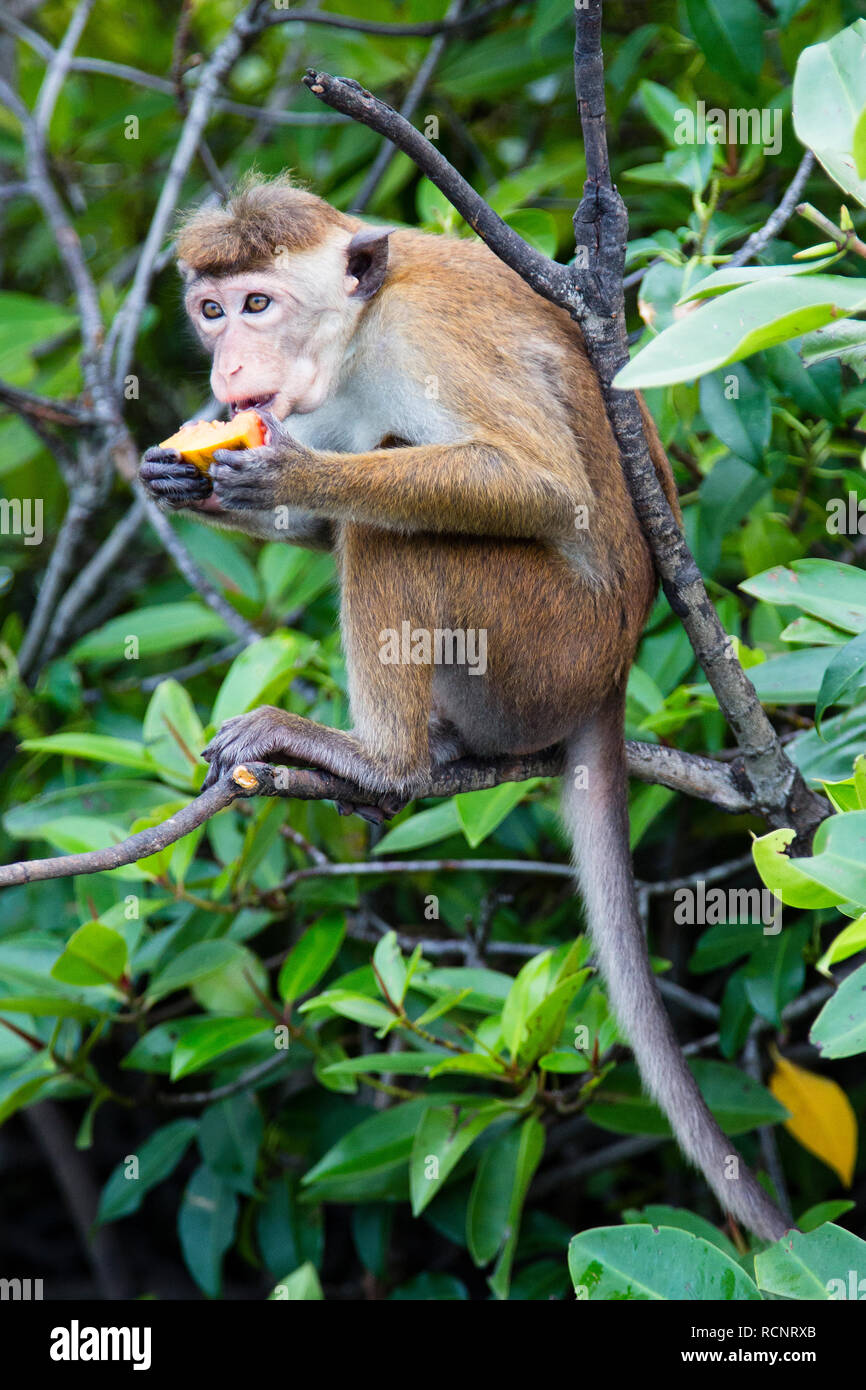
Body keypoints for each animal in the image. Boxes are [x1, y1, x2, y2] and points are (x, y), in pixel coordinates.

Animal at [140, 176, 789, 1243]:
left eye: (257, 304)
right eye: (211, 309)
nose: (228, 363)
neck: (359, 334)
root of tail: (611, 678)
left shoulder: (430, 338)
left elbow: (536, 486)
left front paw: (296, 474)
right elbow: (317, 523)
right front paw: (184, 476)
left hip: (540, 650)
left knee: (397, 530)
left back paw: (382, 759)